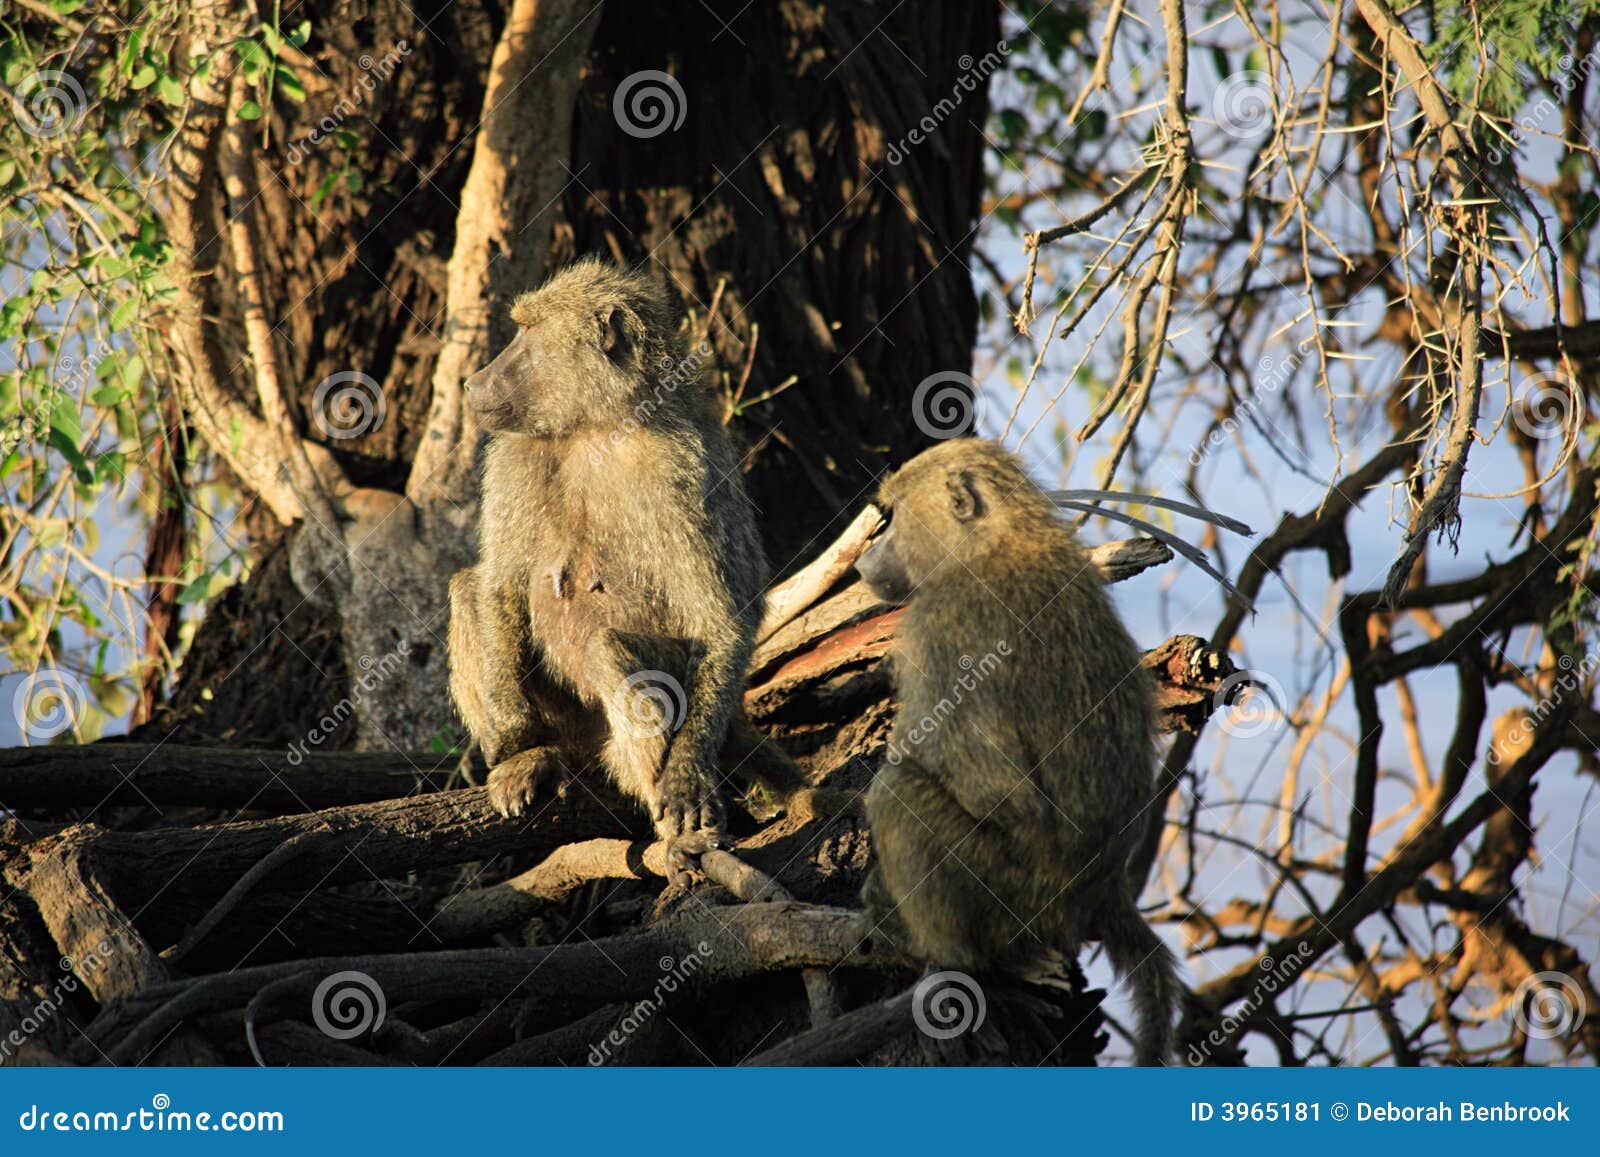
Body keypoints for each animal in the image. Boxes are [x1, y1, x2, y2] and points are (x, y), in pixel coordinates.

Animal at [447, 257, 783, 876]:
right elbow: (500, 585)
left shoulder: (685, 464)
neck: (595, 424)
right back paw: (541, 756)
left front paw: (685, 777)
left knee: (608, 649)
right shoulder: (512, 451)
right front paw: (518, 749)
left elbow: (722, 620)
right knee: (467, 589)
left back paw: (676, 835)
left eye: (525, 332)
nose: (475, 382)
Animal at [852, 437, 1180, 1066]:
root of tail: (1100, 892)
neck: (996, 539)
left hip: (1016, 898)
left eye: (895, 516)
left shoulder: (939, 625)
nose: (861, 563)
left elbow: (992, 791)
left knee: (897, 795)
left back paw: (958, 956)